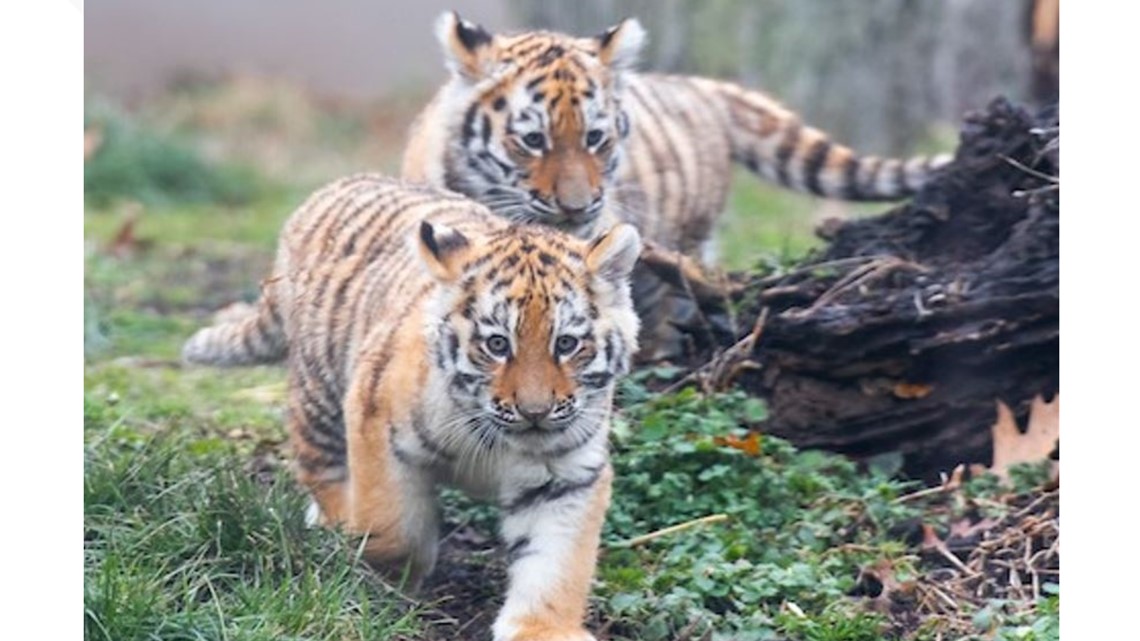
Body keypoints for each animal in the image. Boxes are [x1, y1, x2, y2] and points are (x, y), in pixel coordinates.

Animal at [182, 175, 642, 641]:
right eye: (497, 345)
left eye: (566, 344)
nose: (535, 411)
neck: (501, 440)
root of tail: (334, 187)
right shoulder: (377, 424)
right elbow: (392, 525)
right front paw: (389, 579)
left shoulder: (567, 477)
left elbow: (556, 561)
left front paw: (544, 629)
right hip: (319, 393)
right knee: (320, 467)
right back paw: (336, 523)